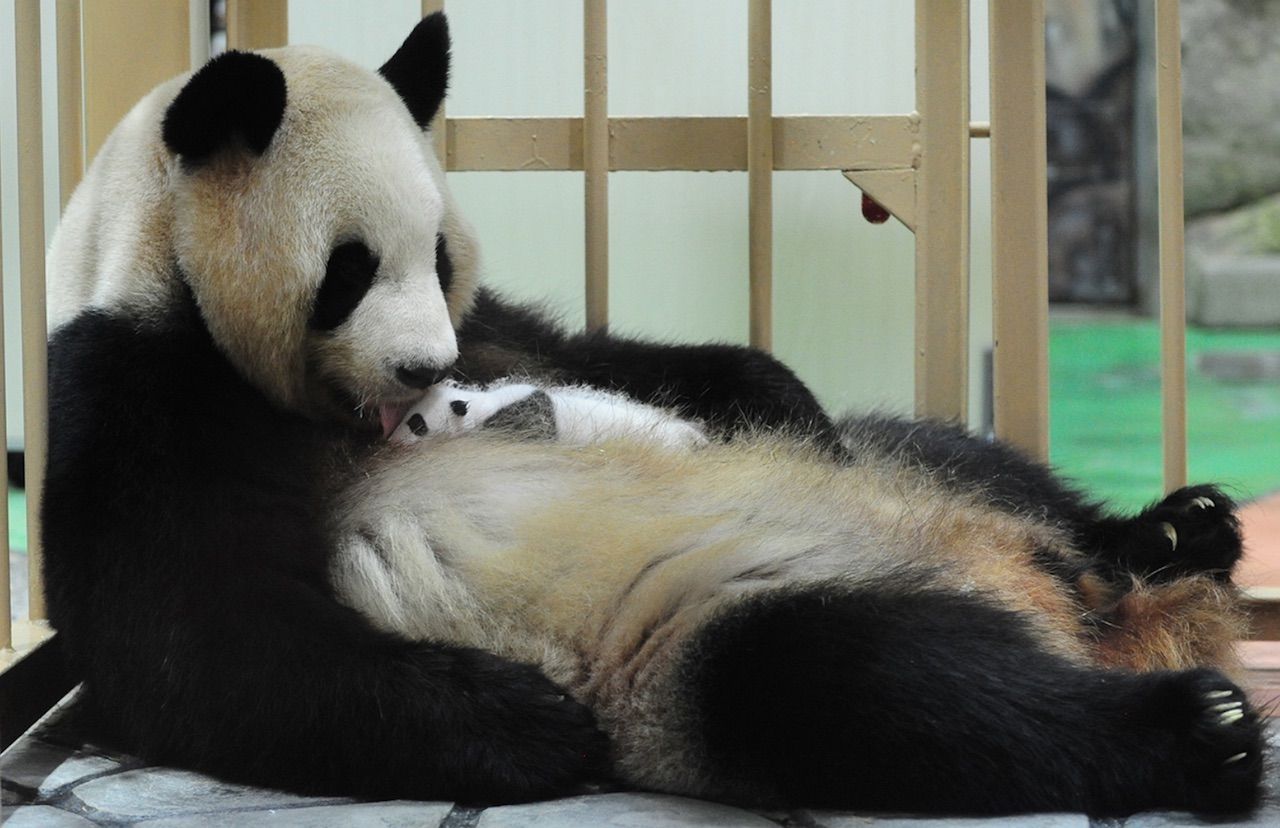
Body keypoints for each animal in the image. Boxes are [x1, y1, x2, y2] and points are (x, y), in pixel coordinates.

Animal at [42, 13, 1265, 817]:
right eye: (346, 269)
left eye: (436, 255)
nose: (426, 372)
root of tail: (1063, 604)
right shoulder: (135, 396)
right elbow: (194, 647)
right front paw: (529, 724)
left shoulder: (501, 327)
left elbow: (634, 357)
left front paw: (776, 405)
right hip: (702, 630)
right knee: (885, 690)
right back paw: (1197, 733)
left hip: (916, 474)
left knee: (965, 460)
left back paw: (1175, 532)